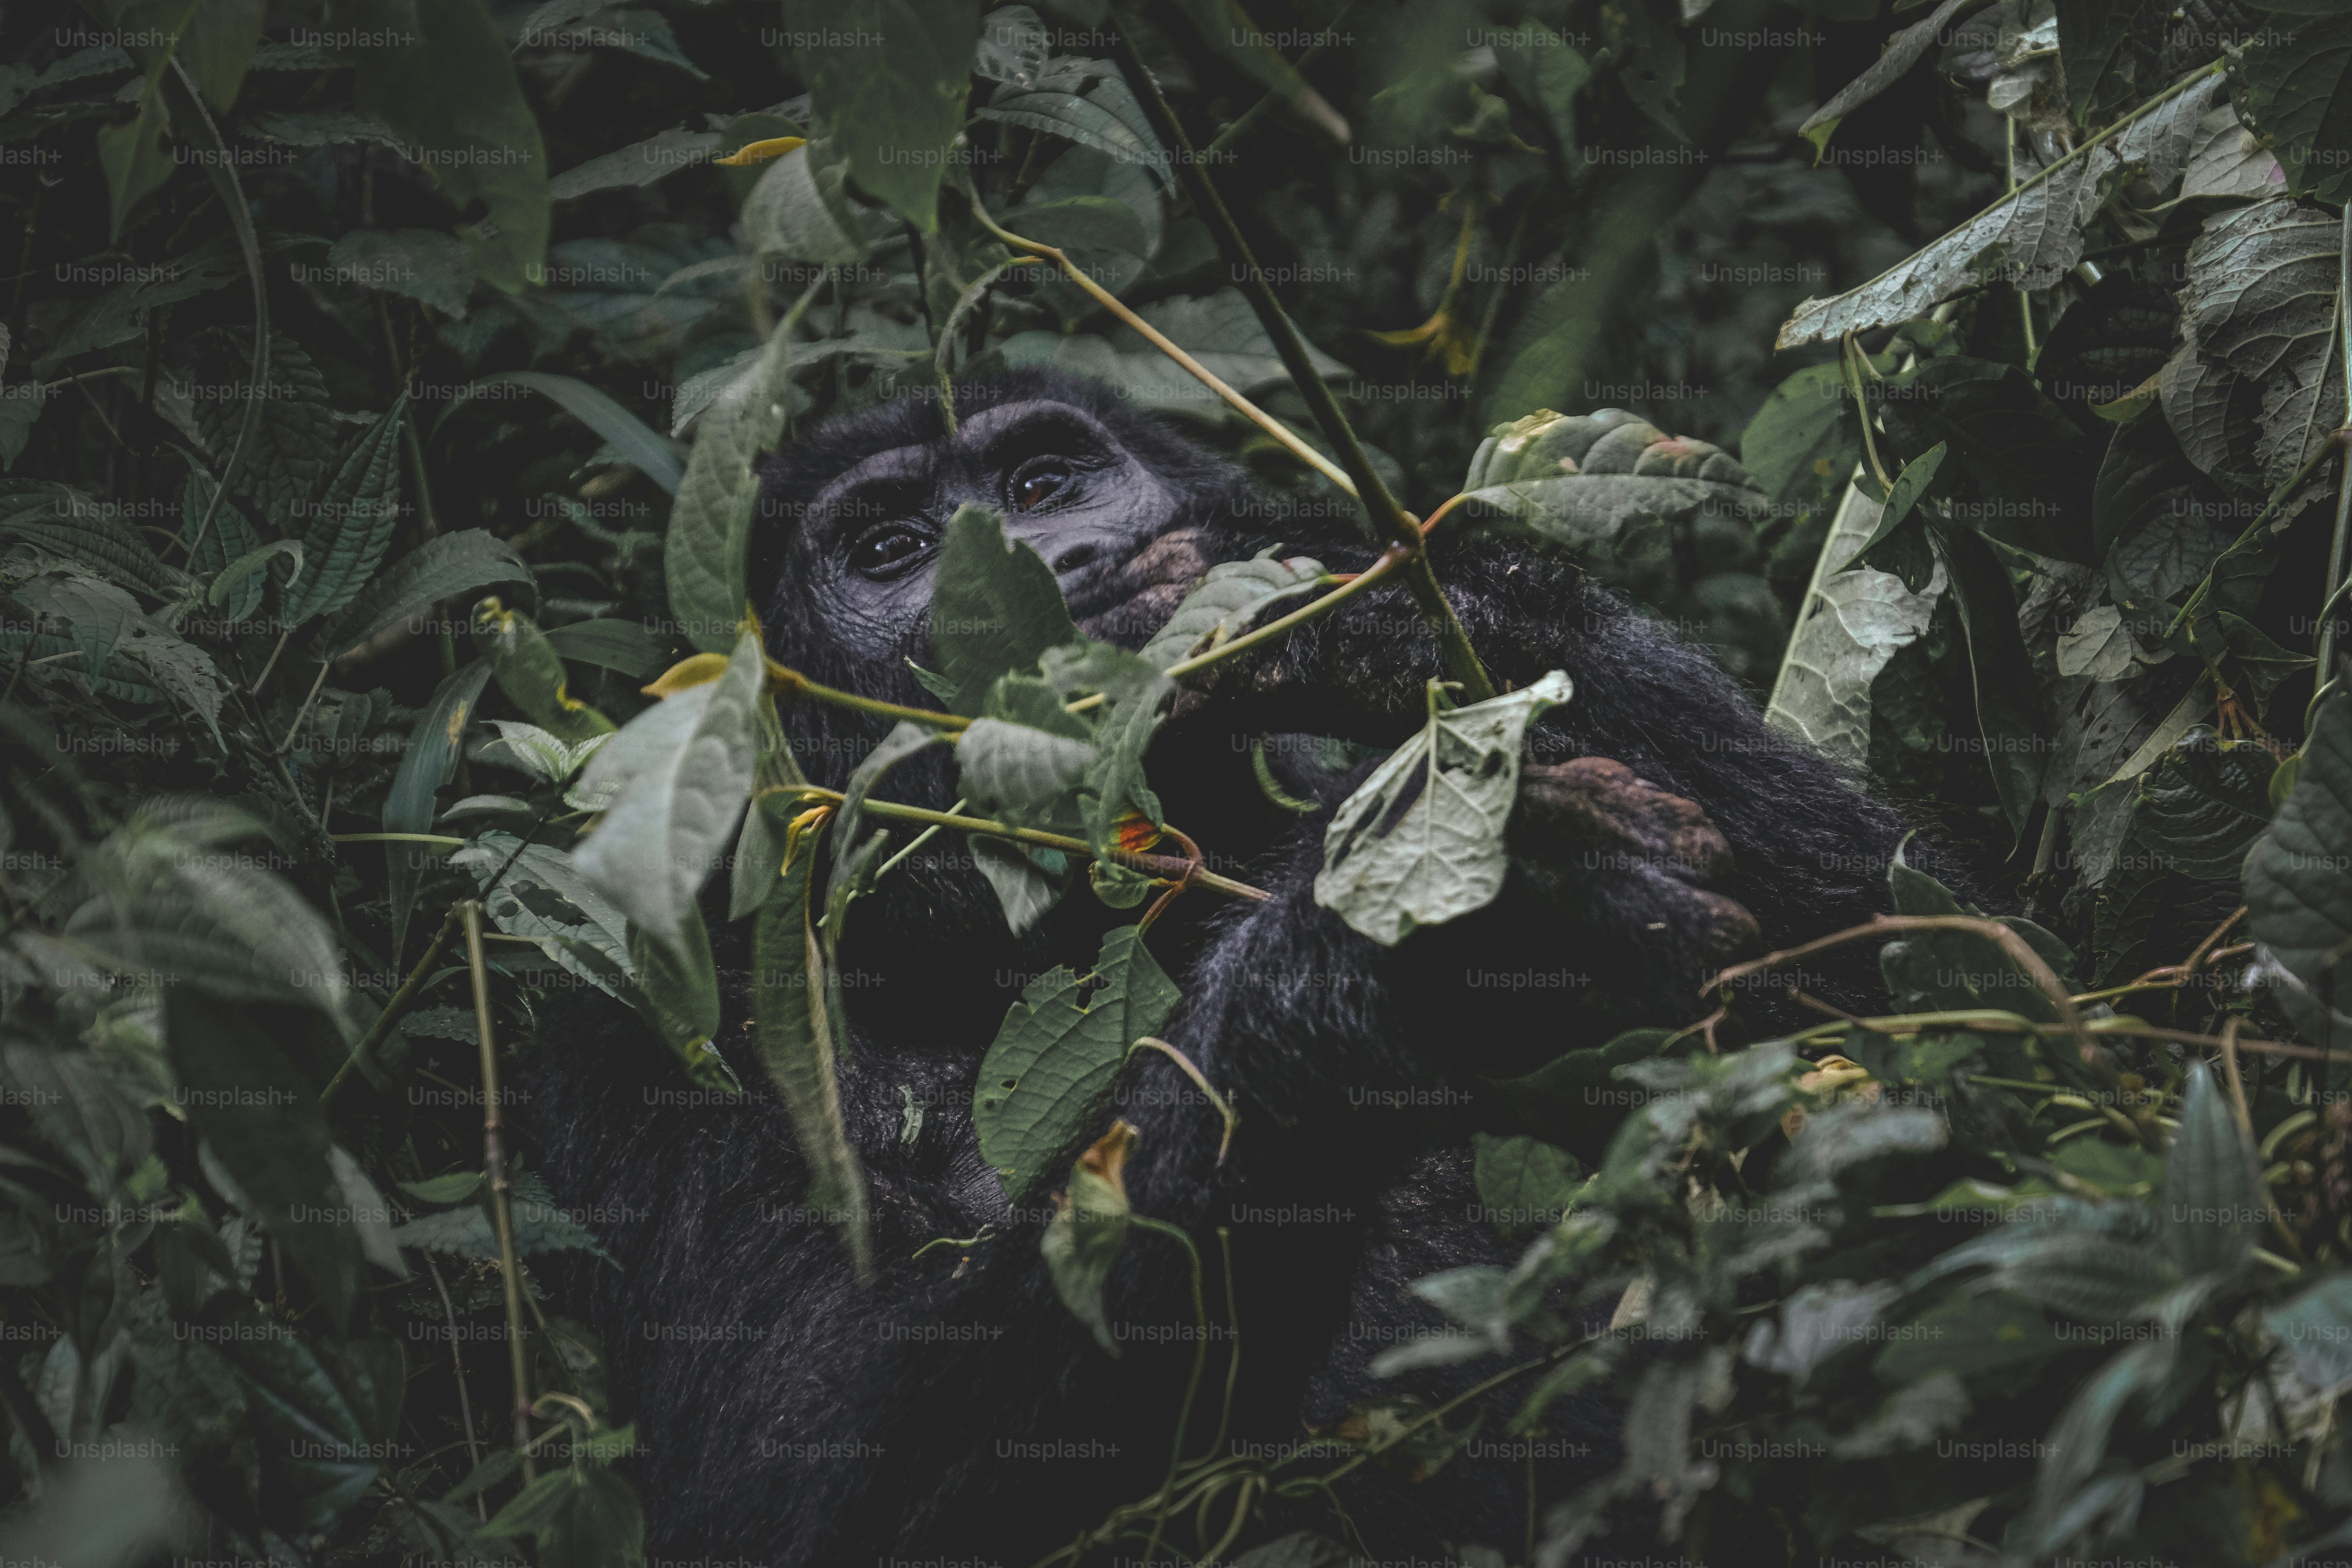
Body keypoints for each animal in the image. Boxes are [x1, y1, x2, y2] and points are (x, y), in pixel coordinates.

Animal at [524, 368, 1949, 1564]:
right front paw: (1435, 944)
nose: (1066, 566)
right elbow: (791, 1476)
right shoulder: (636, 1032)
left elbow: (1915, 1022)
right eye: (890, 552)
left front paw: (1374, 604)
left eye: (1045, 483)